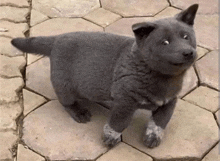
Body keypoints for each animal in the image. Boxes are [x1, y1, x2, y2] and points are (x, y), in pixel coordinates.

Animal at [11, 3, 199, 148]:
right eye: (165, 42)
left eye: (186, 36)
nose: (188, 52)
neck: (162, 77)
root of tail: (57, 39)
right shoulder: (125, 102)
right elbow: (119, 122)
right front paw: (110, 137)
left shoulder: (169, 102)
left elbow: (159, 122)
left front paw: (153, 137)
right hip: (64, 85)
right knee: (66, 102)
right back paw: (79, 112)